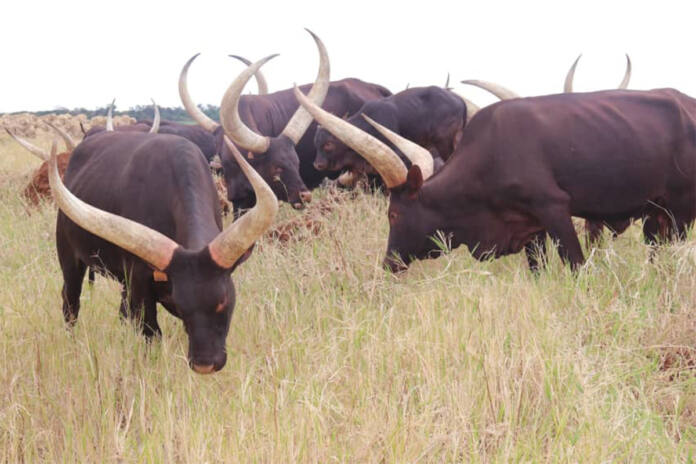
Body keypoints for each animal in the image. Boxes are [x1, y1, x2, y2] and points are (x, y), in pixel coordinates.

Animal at [47, 118, 278, 374]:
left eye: (223, 303)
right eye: (182, 307)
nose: (204, 365)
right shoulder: (140, 283)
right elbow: (152, 333)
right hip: (70, 259)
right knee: (71, 304)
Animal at [295, 86, 696, 273]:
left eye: (393, 215)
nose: (389, 263)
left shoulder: (554, 209)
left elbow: (576, 265)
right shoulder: (530, 227)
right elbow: (538, 270)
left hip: (680, 212)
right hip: (658, 218)